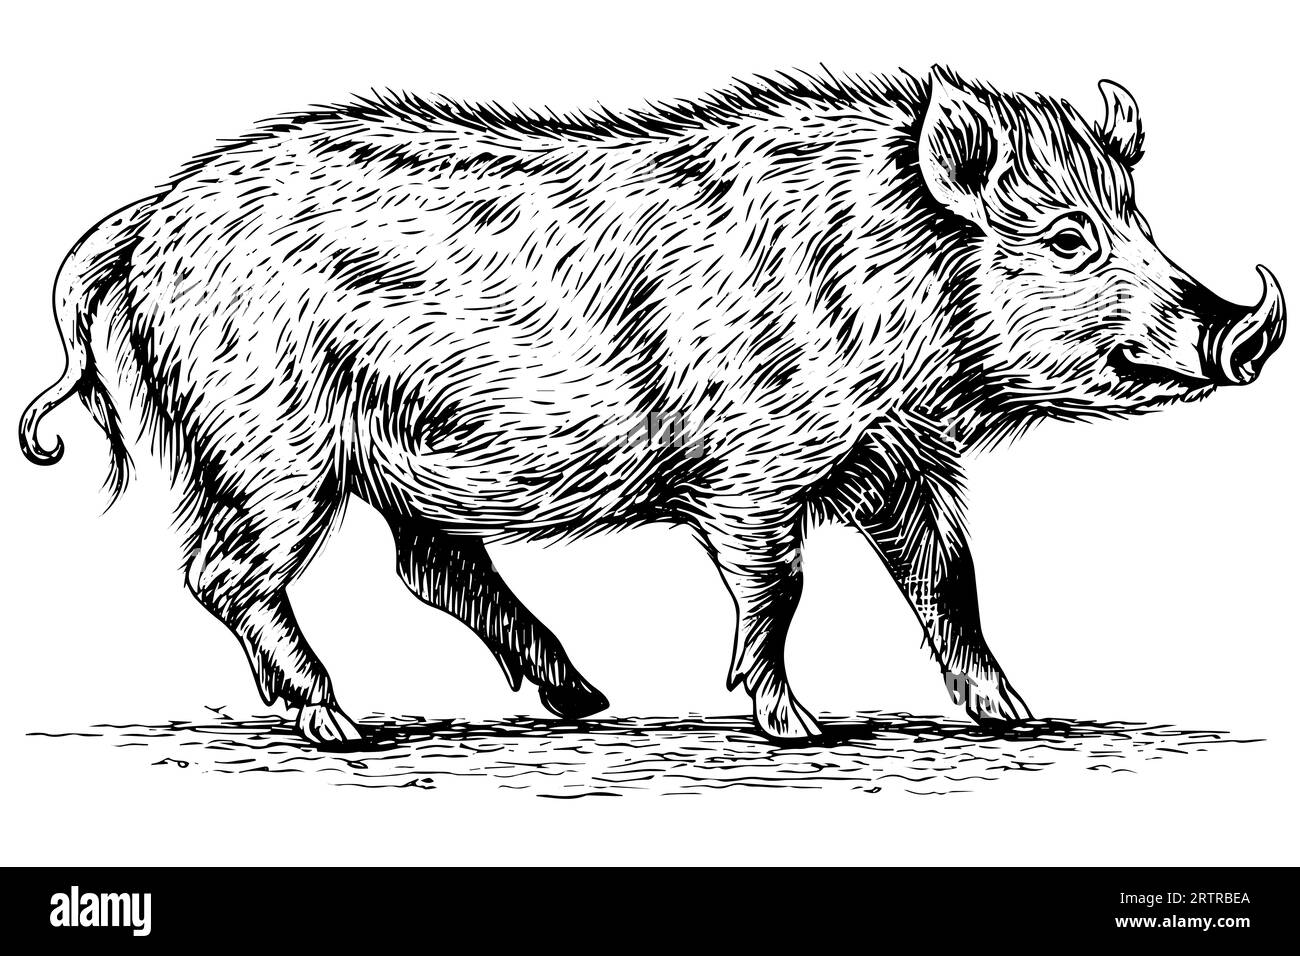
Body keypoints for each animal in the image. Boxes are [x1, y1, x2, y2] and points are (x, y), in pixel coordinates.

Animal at [19, 67, 1286, 745]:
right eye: (1069, 238)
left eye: (1139, 222)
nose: (1238, 330)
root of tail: (147, 216)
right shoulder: (755, 475)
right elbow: (778, 588)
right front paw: (797, 725)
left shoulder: (900, 464)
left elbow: (949, 581)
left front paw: (1018, 715)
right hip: (265, 442)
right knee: (230, 572)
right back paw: (341, 723)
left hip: (377, 462)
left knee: (425, 567)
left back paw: (579, 696)